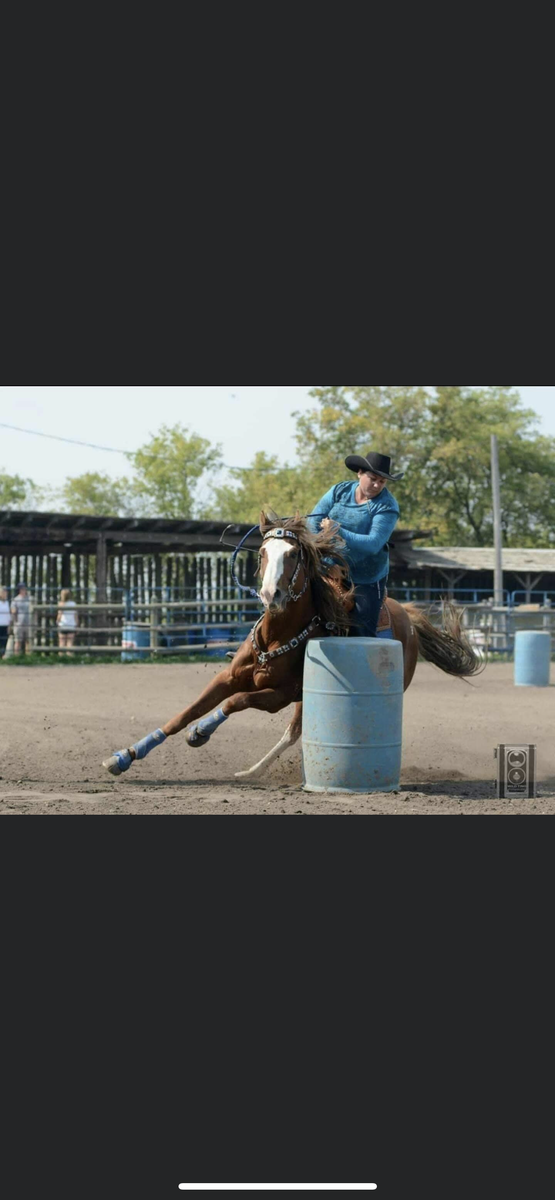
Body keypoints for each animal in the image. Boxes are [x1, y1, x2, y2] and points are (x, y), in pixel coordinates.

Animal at [102, 511, 484, 782]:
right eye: (262, 552)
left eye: (293, 554)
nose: (271, 594)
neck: (277, 636)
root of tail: (406, 613)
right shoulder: (228, 677)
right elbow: (183, 714)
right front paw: (123, 757)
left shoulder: (279, 696)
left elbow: (233, 703)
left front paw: (200, 733)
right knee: (296, 731)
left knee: (295, 731)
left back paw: (255, 772)